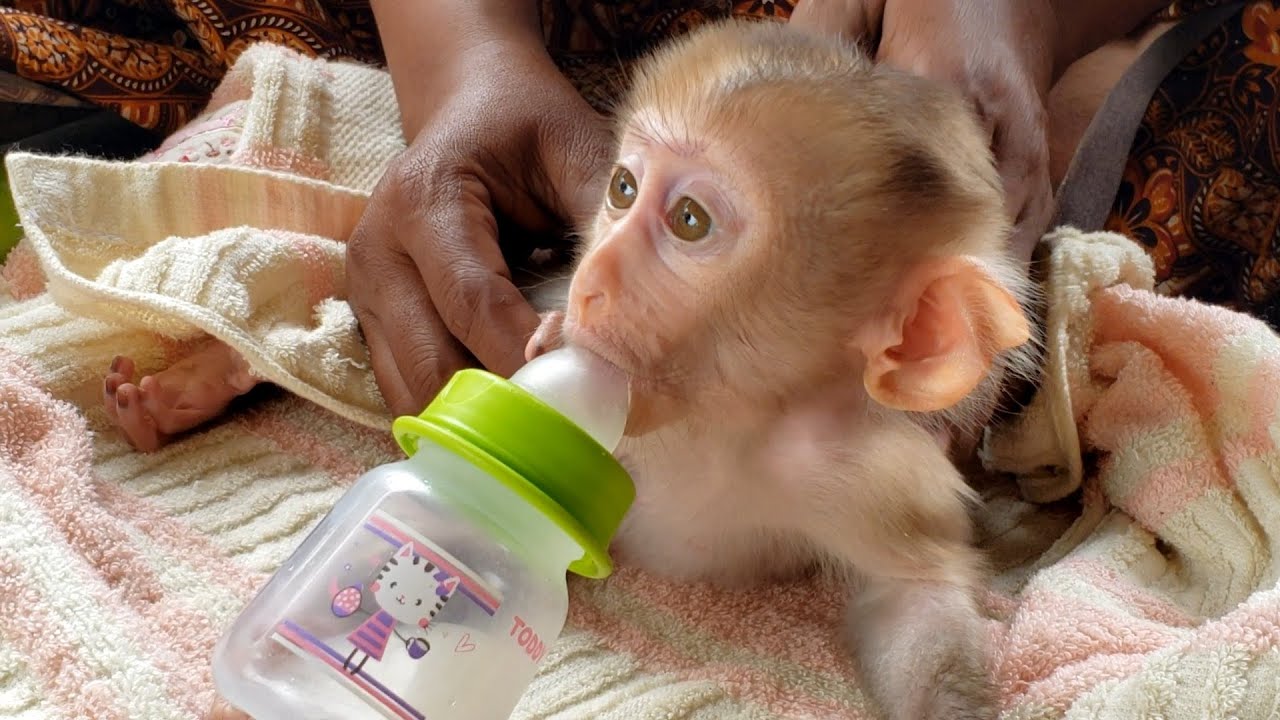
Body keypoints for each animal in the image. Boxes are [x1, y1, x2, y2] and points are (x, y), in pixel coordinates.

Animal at [521, 19, 1039, 720]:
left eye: (689, 219)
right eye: (622, 189)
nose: (590, 283)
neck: (722, 423)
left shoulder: (865, 471)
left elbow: (914, 593)